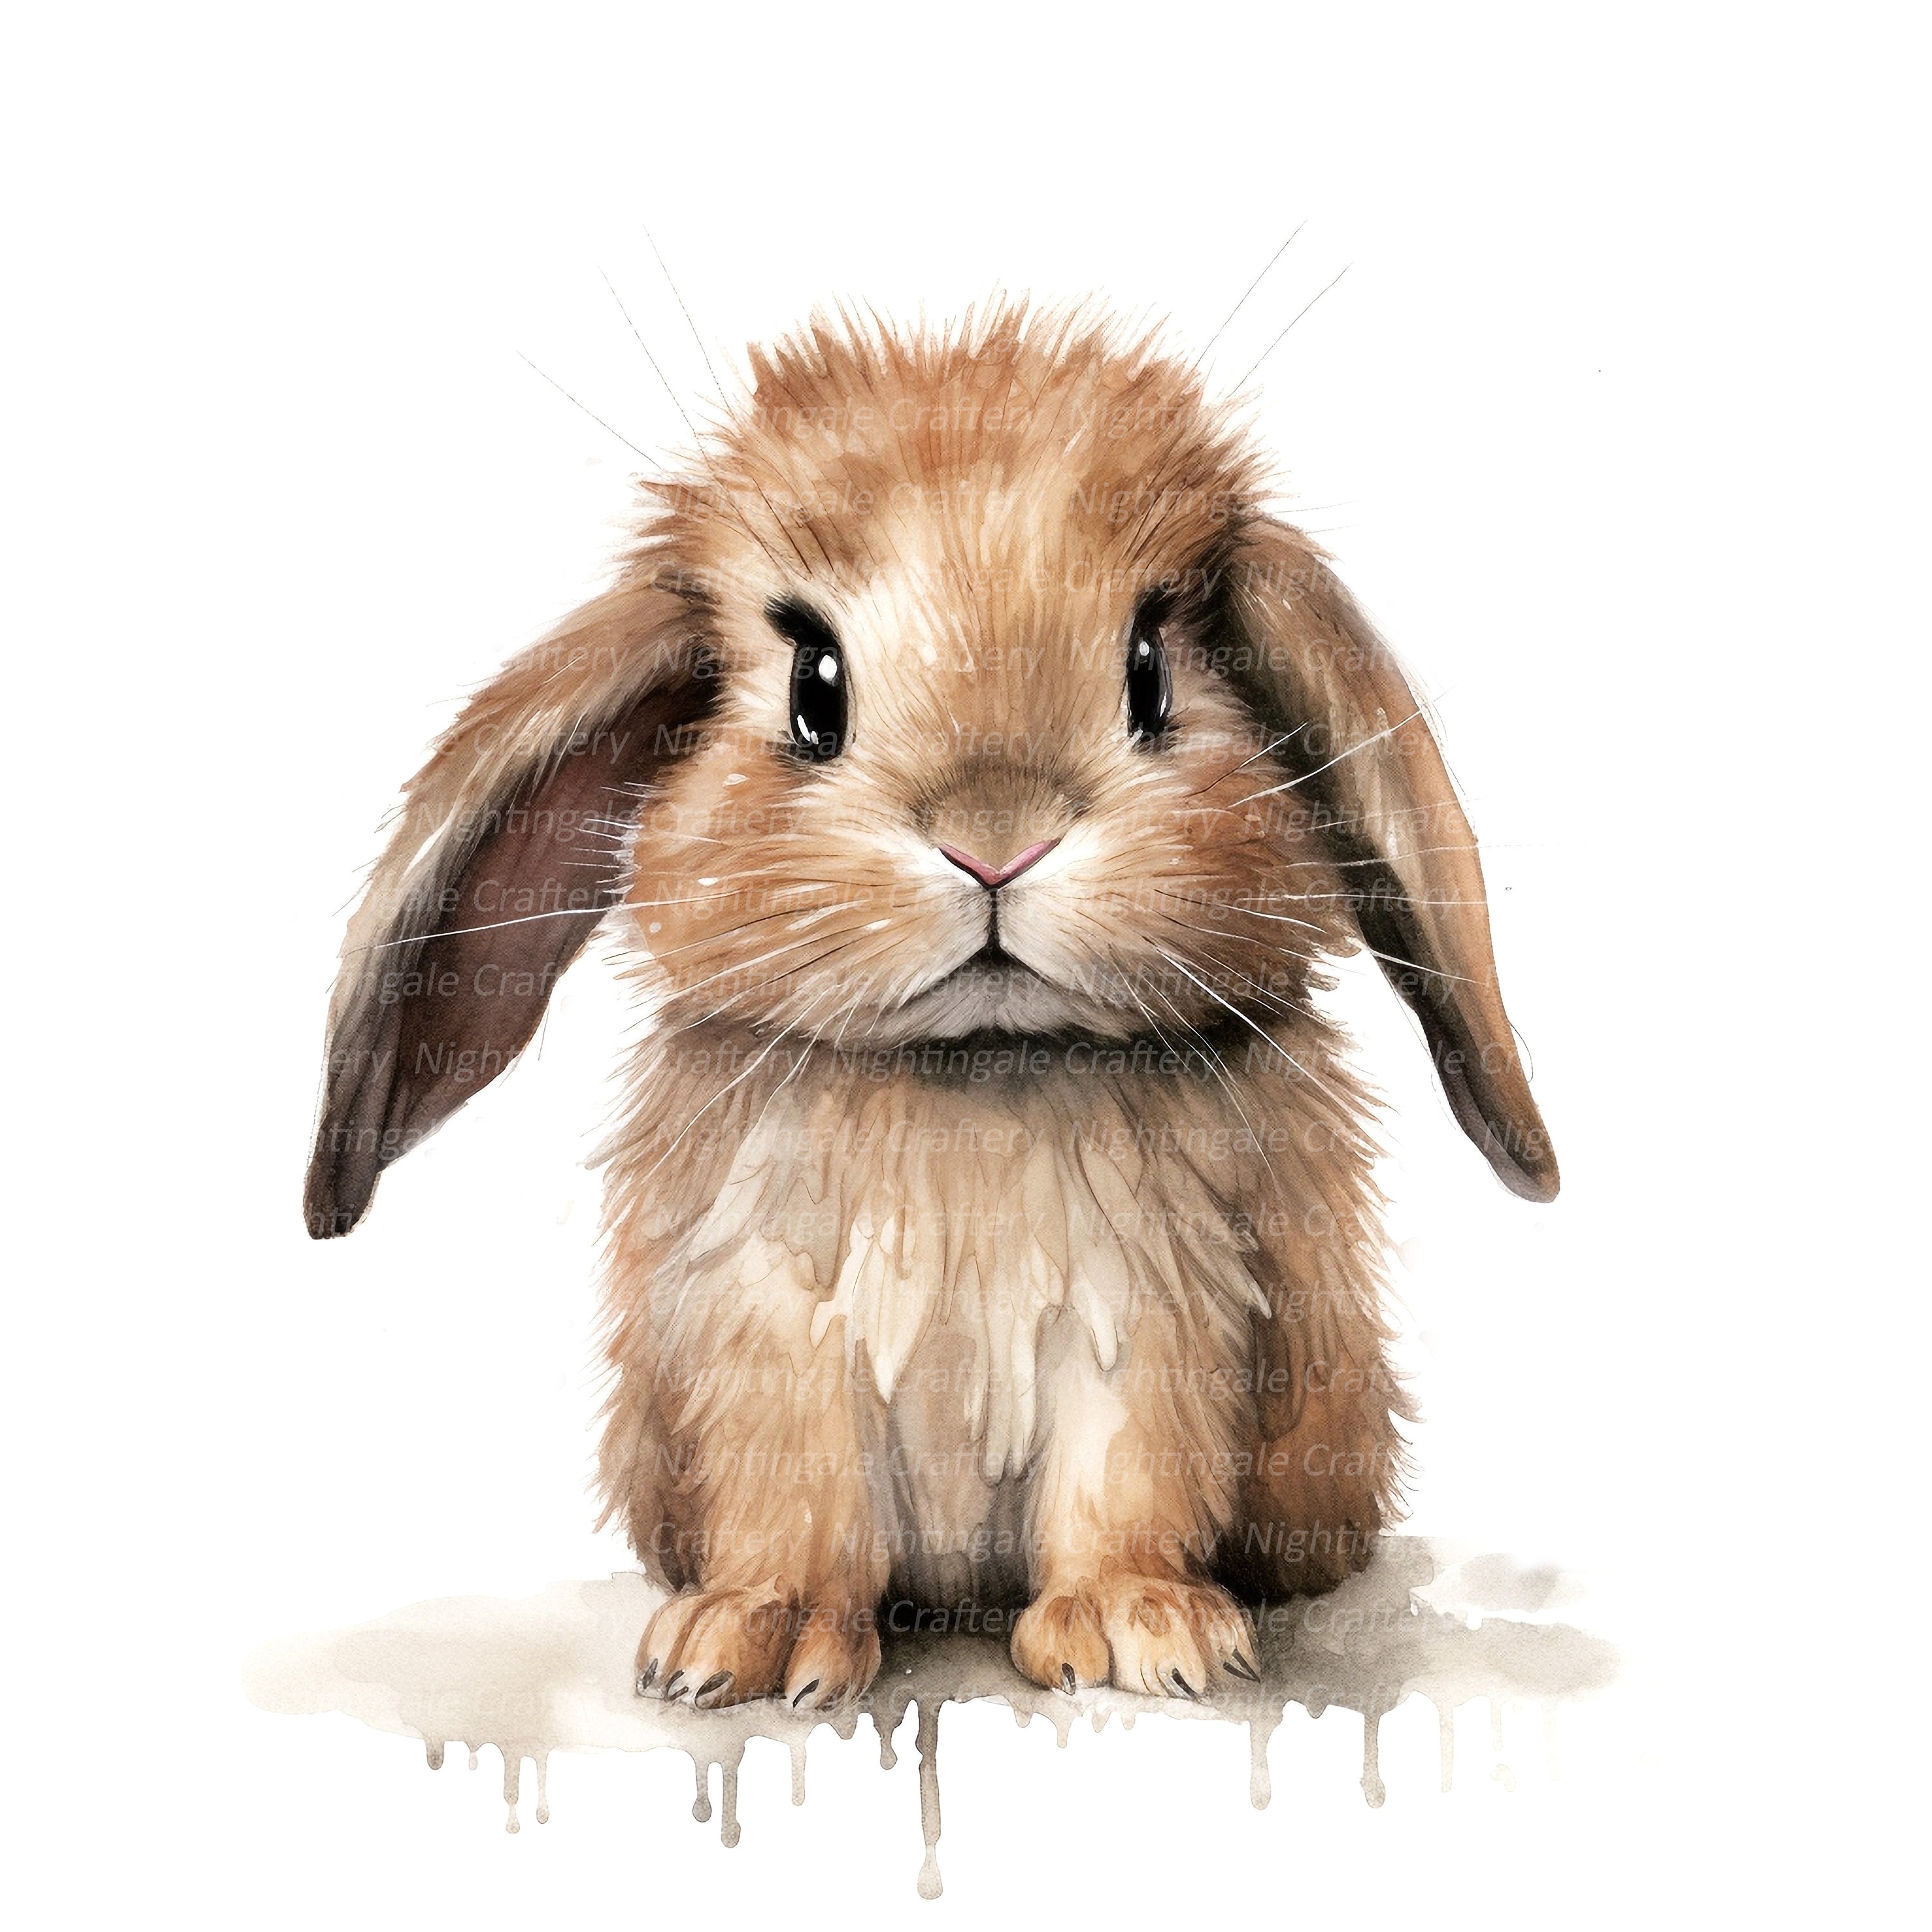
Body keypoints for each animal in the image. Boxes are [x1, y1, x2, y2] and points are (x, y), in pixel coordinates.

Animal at [305, 301, 1557, 1710]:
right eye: (814, 685)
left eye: (1150, 670)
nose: (994, 838)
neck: (978, 1074)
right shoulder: (771, 1328)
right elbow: (795, 1492)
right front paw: (753, 1640)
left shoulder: (1154, 1321)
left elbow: (1129, 1473)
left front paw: (1140, 1628)